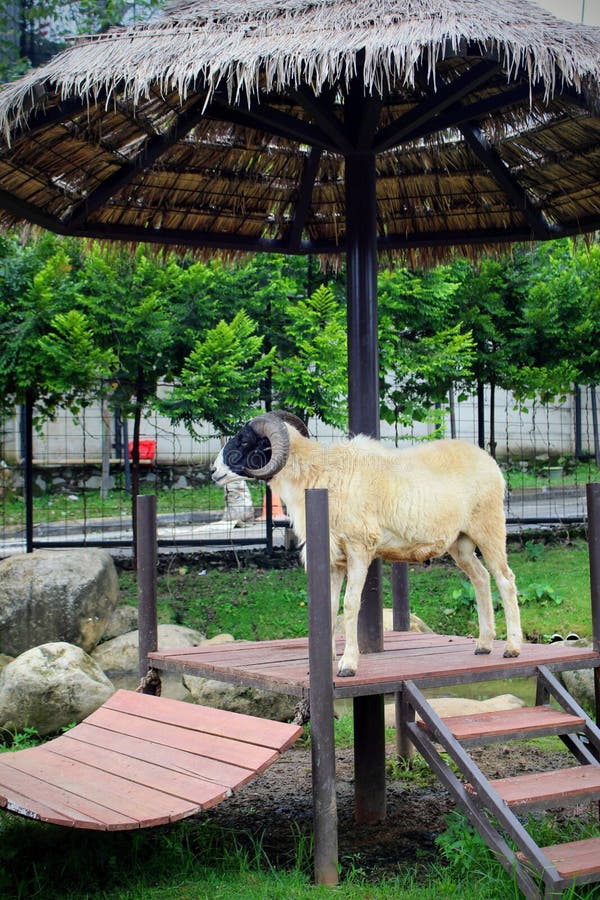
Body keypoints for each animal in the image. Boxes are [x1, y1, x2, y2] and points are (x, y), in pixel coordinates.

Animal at [211, 411, 522, 677]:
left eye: (245, 440)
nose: (213, 471)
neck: (317, 474)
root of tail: (489, 460)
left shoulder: (360, 548)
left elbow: (349, 604)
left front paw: (348, 665)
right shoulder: (333, 558)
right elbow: (328, 607)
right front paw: (324, 662)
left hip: (489, 527)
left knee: (505, 579)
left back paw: (512, 648)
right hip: (461, 542)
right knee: (481, 578)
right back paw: (483, 645)